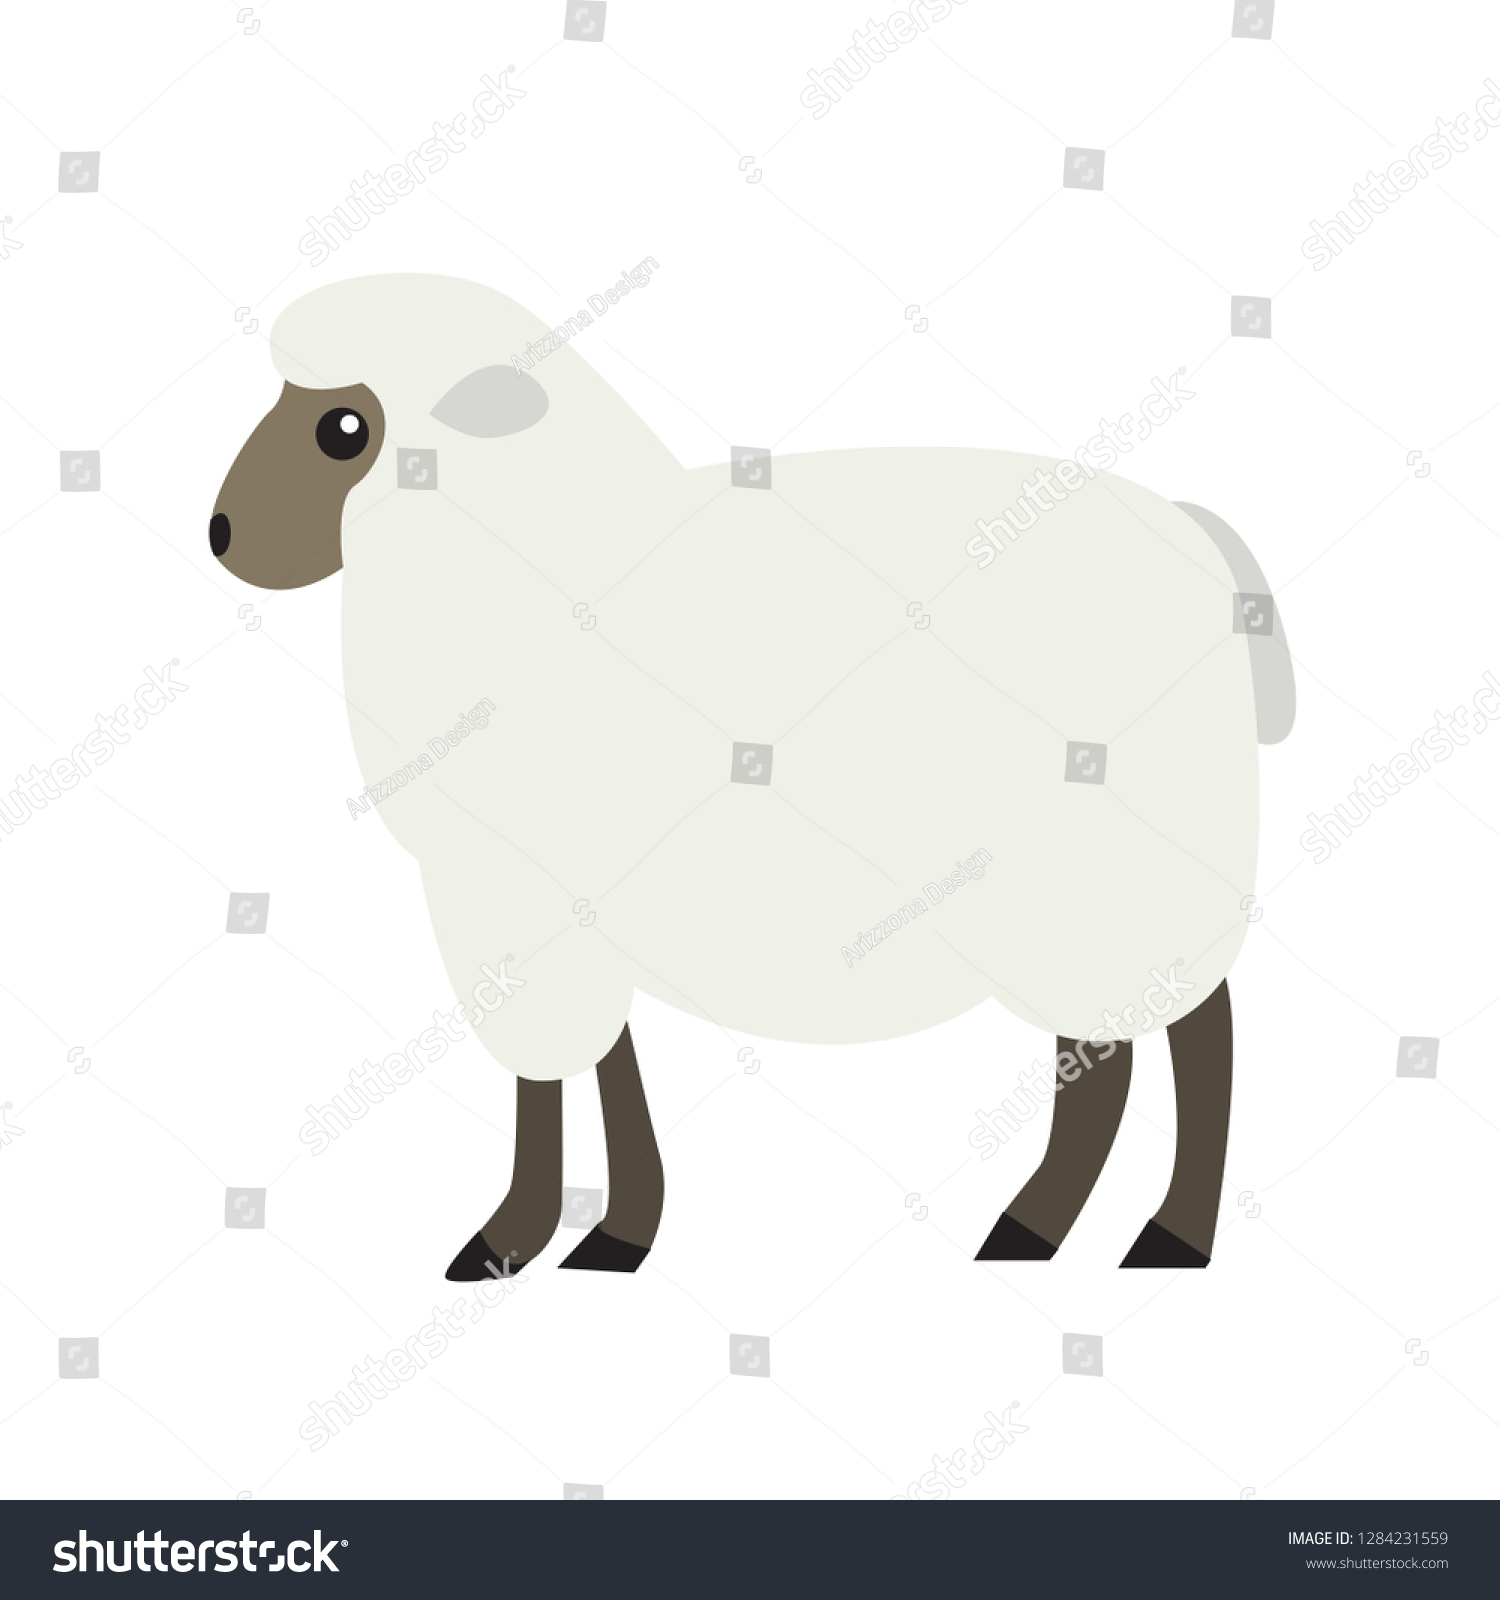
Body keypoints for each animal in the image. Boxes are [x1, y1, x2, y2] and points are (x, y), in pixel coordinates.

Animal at [209, 273, 1294, 1278]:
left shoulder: (508, 891)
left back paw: (1169, 1236)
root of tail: (1198, 535)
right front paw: (616, 1231)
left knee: (1196, 1031)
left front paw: (513, 1236)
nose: (220, 535)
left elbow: (550, 1066)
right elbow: (609, 1062)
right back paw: (1034, 1229)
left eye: (344, 426)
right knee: (1101, 1049)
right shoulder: (575, 902)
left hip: (1136, 872)